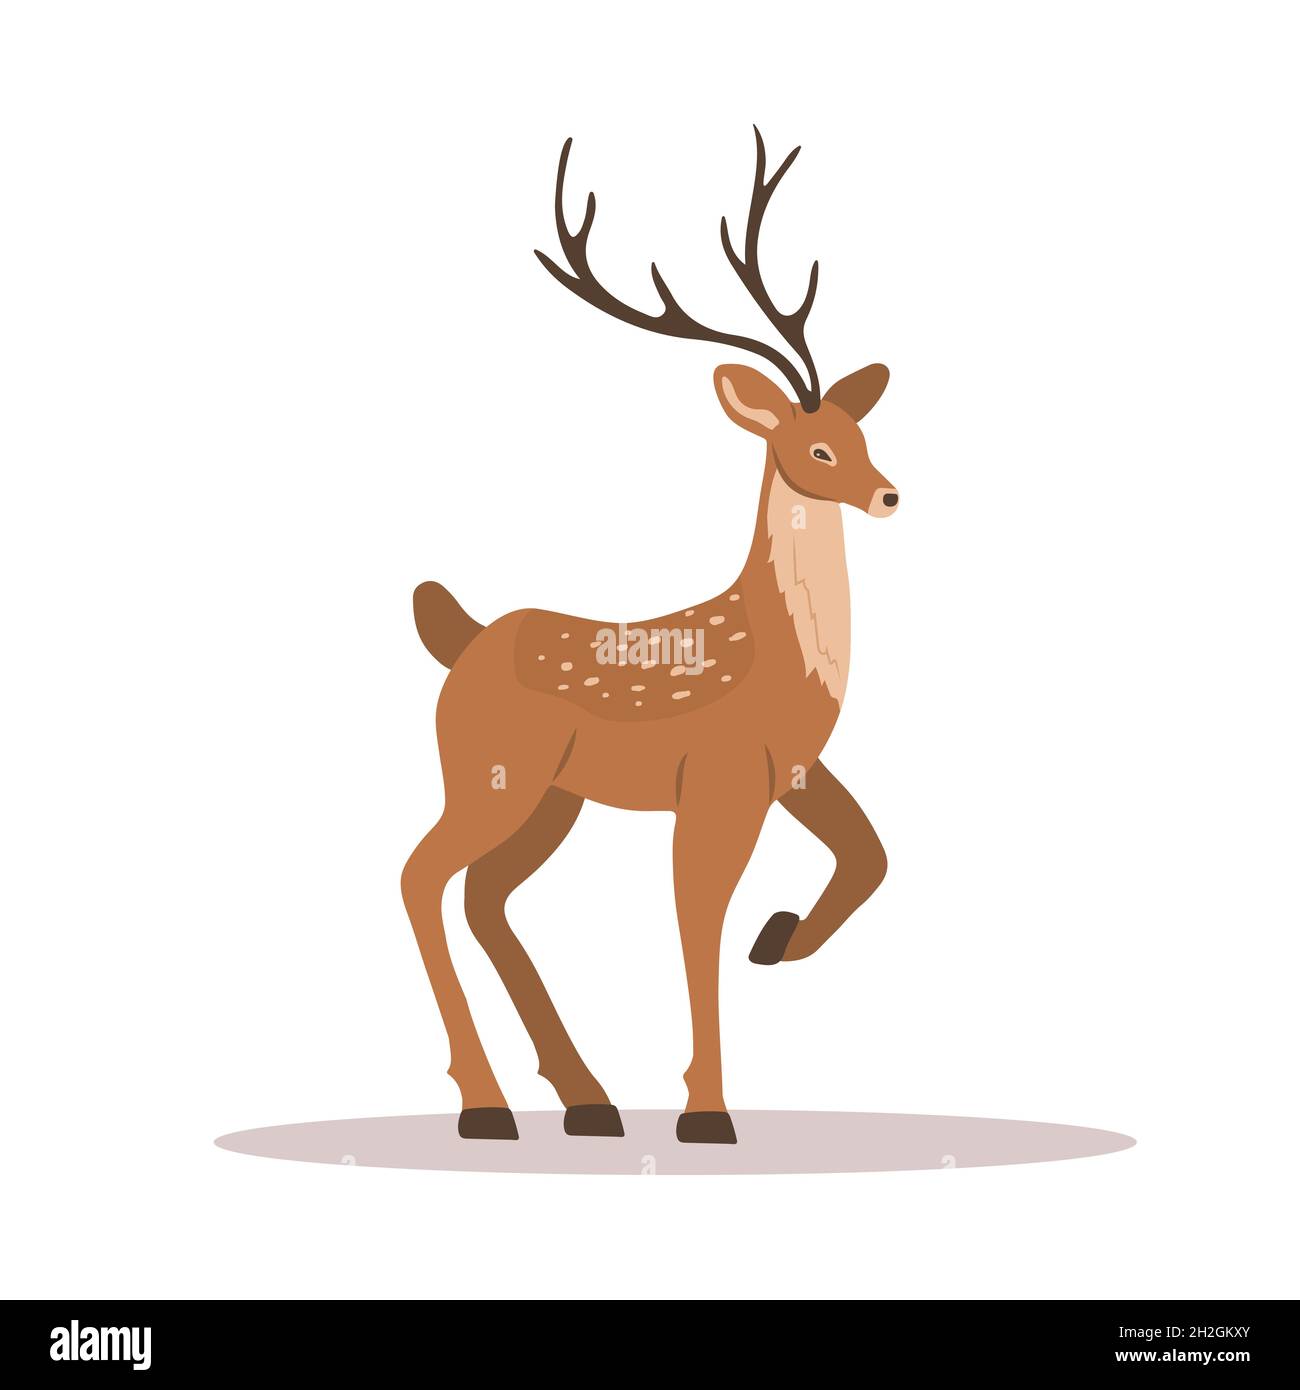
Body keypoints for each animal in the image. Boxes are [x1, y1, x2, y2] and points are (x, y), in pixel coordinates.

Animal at [402, 129, 898, 1144]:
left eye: (862, 431)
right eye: (818, 448)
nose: (889, 493)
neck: (778, 655)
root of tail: (459, 638)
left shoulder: (794, 769)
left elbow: (869, 854)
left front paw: (777, 939)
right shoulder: (719, 780)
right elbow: (694, 921)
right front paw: (707, 1111)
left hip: (551, 798)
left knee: (484, 897)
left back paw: (583, 1098)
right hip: (489, 773)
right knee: (421, 876)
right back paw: (485, 1104)